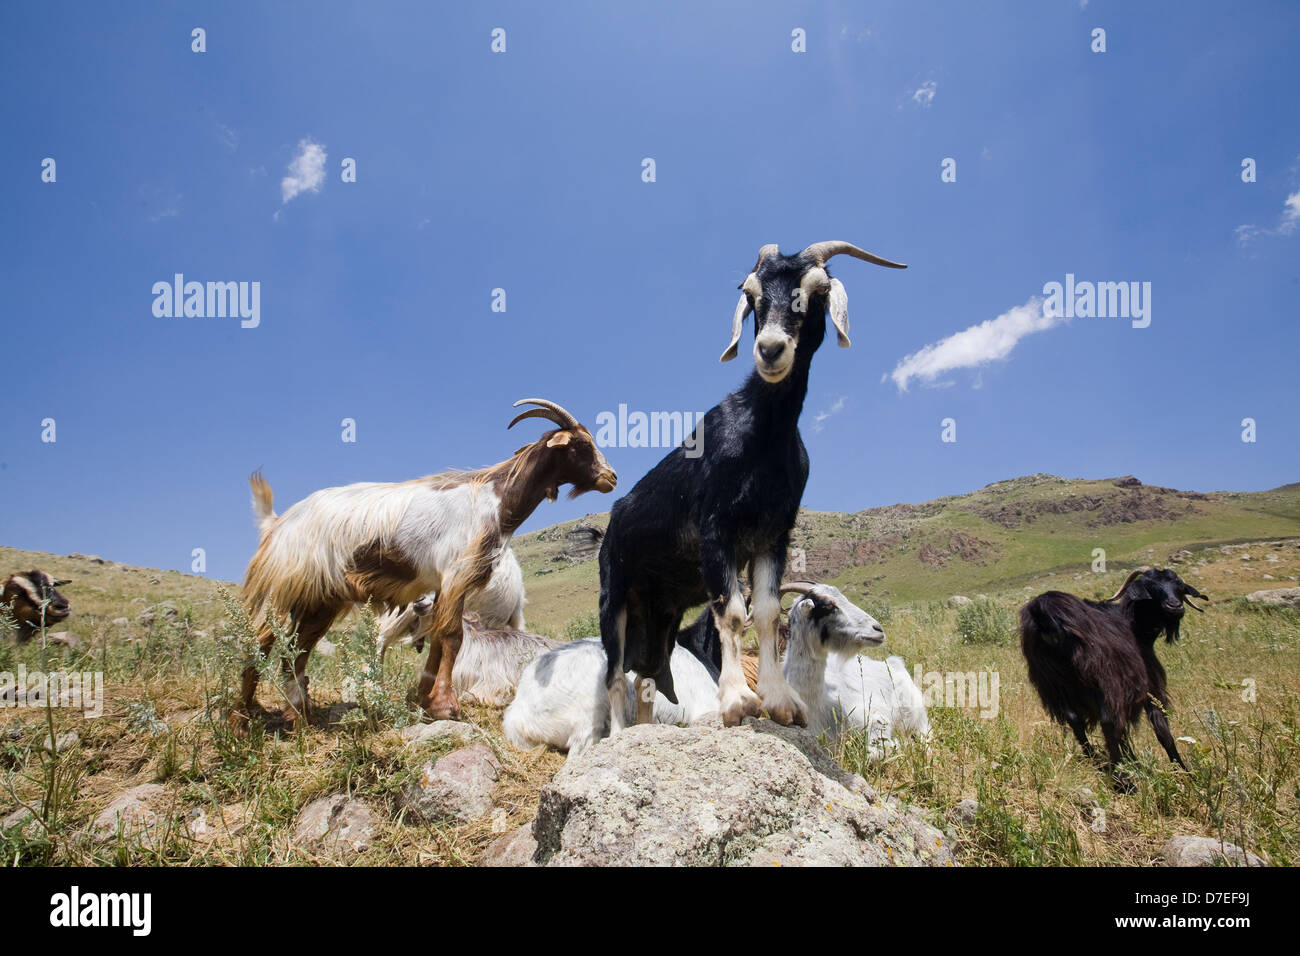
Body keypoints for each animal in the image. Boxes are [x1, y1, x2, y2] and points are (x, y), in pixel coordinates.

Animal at [234, 399, 616, 733]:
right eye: (581, 445)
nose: (611, 477)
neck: (494, 500)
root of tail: (278, 524)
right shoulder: (457, 575)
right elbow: (452, 636)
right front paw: (446, 705)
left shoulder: (442, 586)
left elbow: (437, 637)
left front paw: (426, 701)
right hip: (286, 589)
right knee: (263, 640)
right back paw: (240, 722)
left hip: (320, 601)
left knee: (295, 650)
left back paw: (296, 717)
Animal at [598, 240, 906, 732]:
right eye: (751, 292)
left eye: (818, 291)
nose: (770, 348)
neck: (764, 433)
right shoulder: (714, 529)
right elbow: (731, 612)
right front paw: (738, 700)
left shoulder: (773, 536)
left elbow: (763, 612)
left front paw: (781, 702)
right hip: (616, 597)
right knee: (613, 674)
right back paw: (618, 734)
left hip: (660, 616)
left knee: (648, 674)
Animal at [1019, 567, 1207, 790]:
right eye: (1151, 586)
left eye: (1178, 585)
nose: (1175, 606)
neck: (1133, 626)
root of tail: (1045, 614)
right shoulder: (1148, 687)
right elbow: (1161, 730)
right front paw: (1184, 772)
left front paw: (1133, 761)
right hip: (1103, 680)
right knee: (1108, 722)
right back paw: (1124, 783)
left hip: (1053, 682)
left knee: (1076, 720)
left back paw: (1097, 761)